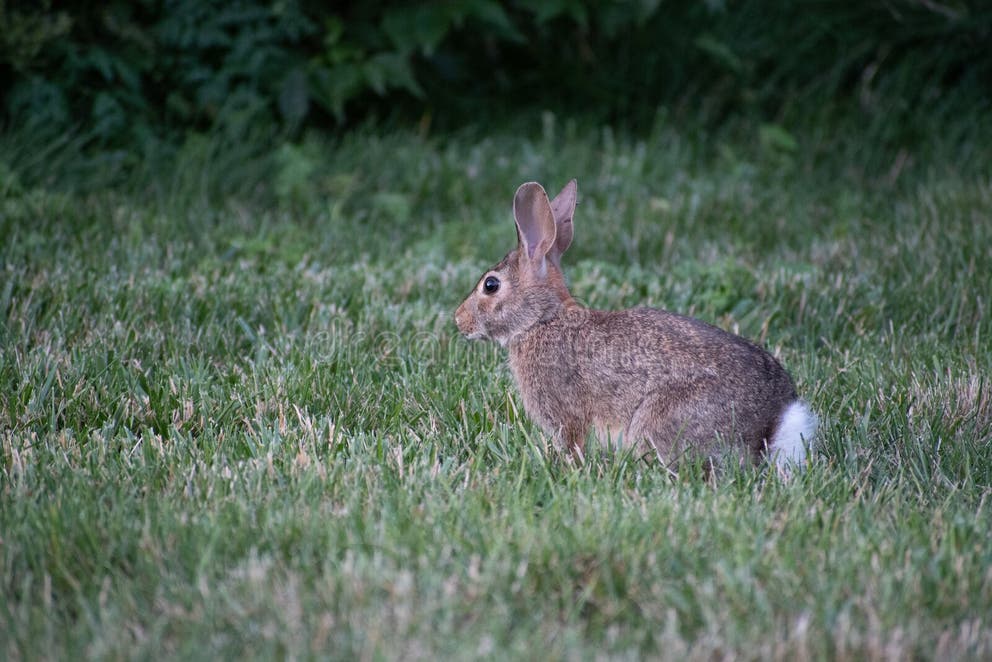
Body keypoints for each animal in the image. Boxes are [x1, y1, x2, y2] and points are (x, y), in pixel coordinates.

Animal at [454, 179, 818, 471]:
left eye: (490, 285)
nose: (459, 320)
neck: (542, 320)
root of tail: (771, 424)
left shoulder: (565, 414)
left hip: (658, 417)